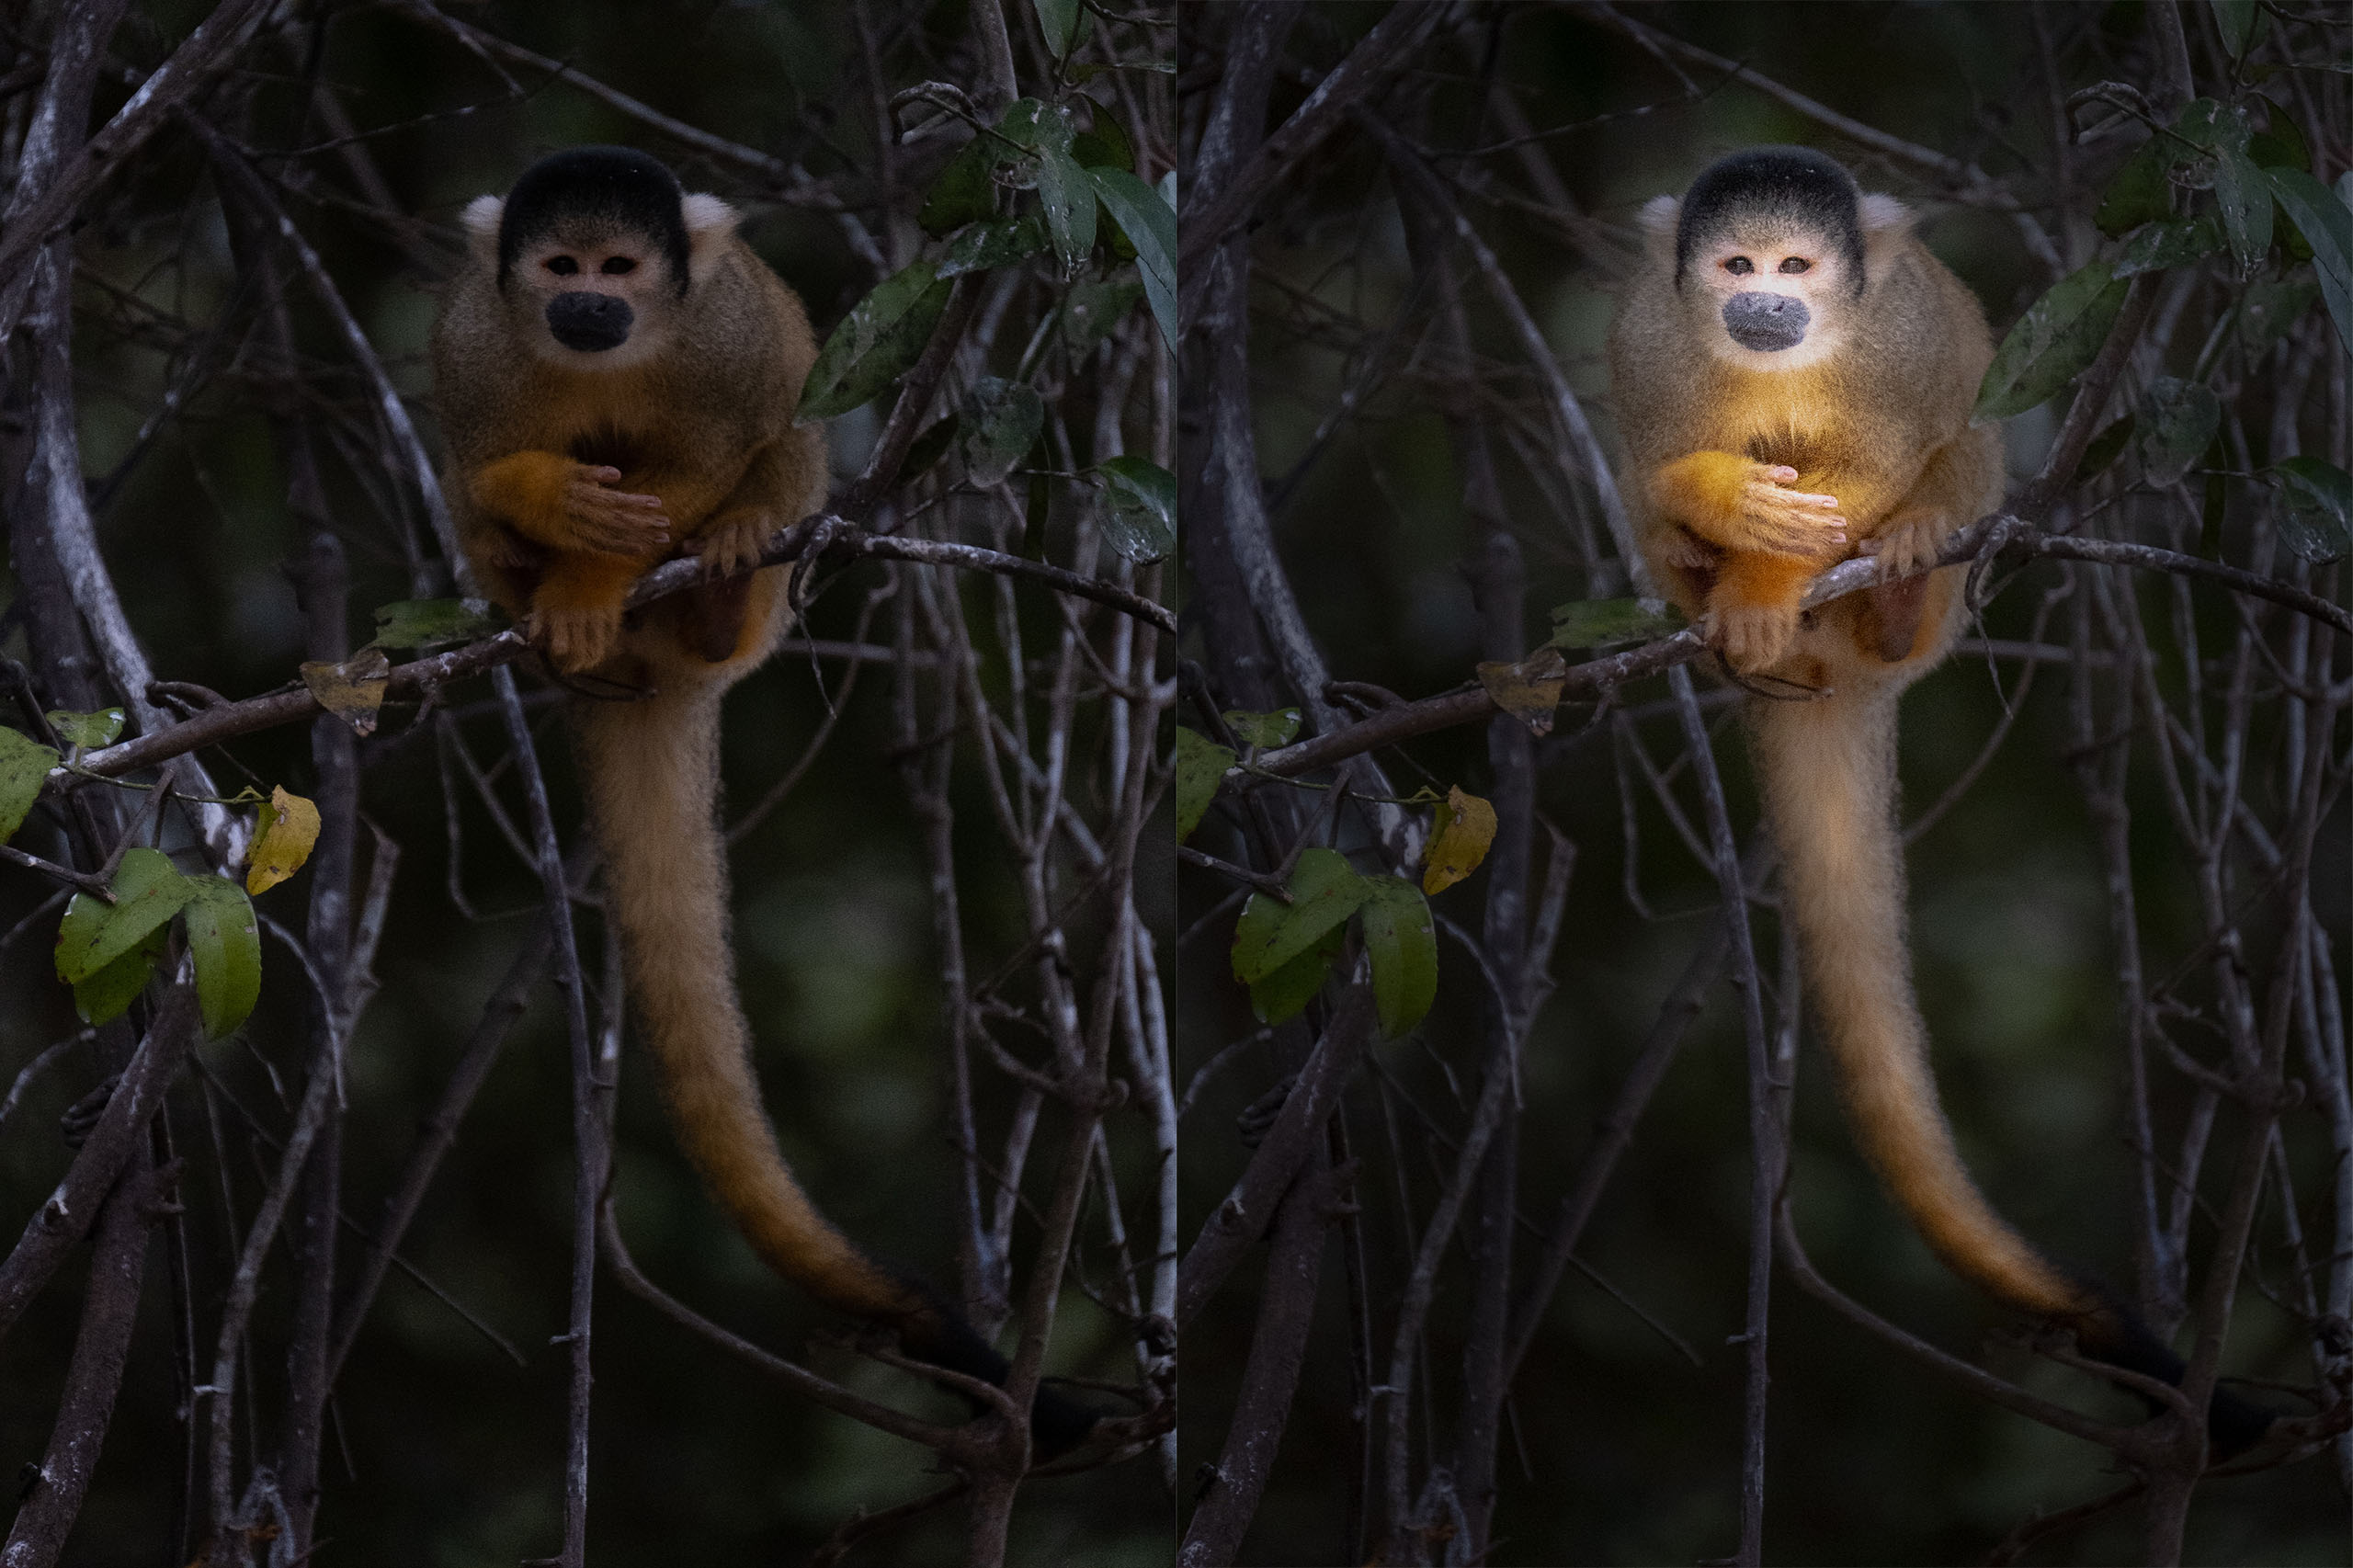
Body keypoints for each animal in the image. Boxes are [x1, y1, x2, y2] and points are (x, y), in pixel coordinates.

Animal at [431, 146, 1096, 1456]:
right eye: (560, 267)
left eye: (619, 267)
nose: (587, 306)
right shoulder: (474, 340)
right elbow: (475, 463)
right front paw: (549, 511)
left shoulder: (722, 336)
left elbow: (731, 435)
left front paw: (598, 573)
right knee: (477, 508)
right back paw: (552, 605)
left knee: (787, 442)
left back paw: (713, 592)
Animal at [1607, 145, 2271, 1456]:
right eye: (1735, 267)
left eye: (1796, 265)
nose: (1765, 306)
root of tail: (1843, 681)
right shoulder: (1646, 335)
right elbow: (1645, 459)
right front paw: (1723, 518)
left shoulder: (1898, 335)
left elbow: (1890, 448)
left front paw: (1769, 576)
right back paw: (1713, 587)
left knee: (1959, 448)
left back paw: (1894, 592)